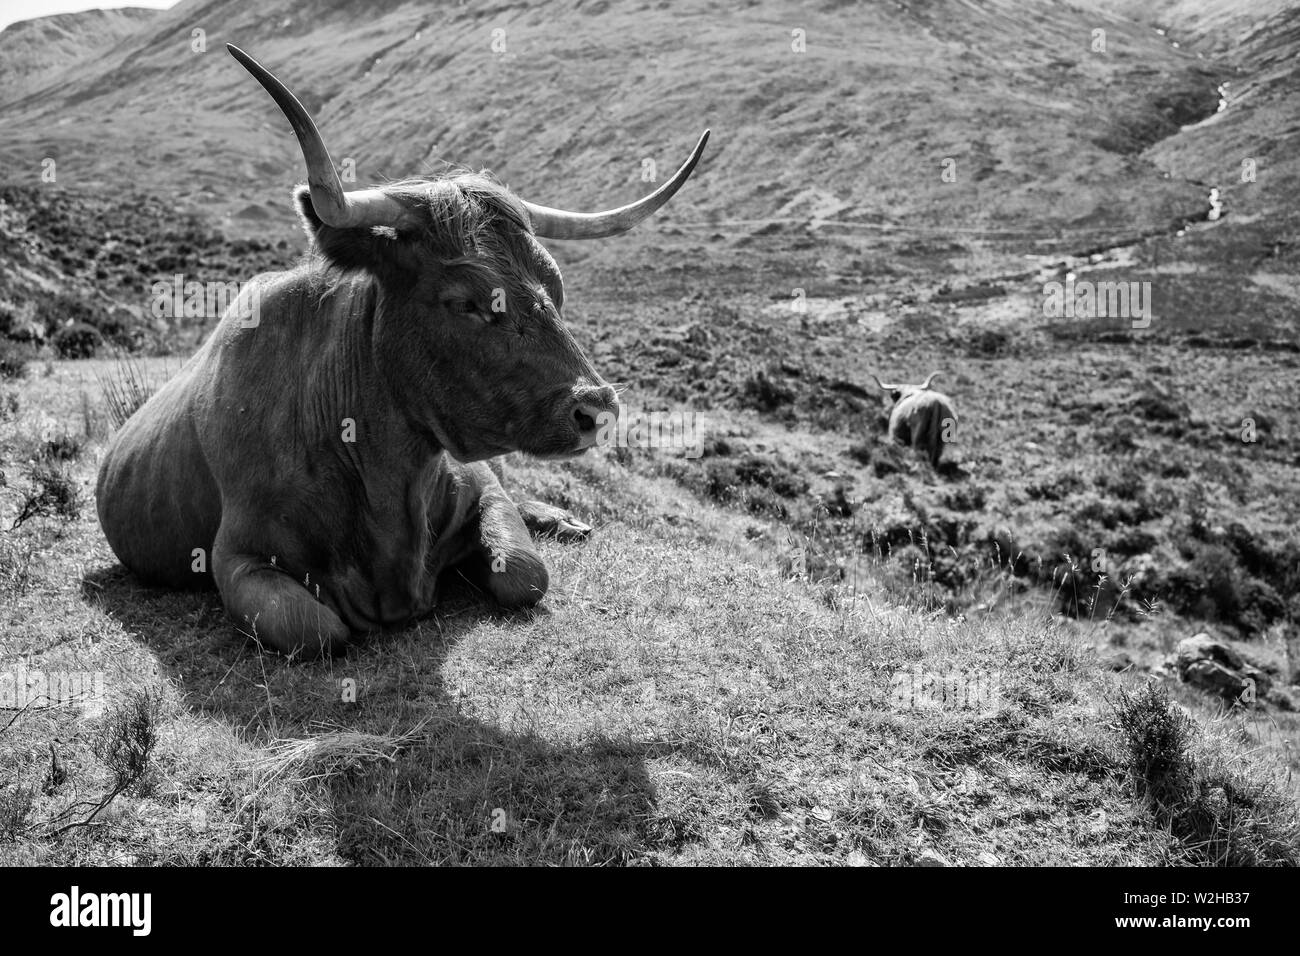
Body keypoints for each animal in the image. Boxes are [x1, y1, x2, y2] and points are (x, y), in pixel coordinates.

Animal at [95, 44, 709, 659]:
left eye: (556, 288)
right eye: (467, 301)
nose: (596, 408)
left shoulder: (480, 488)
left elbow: (523, 571)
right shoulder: (238, 556)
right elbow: (315, 629)